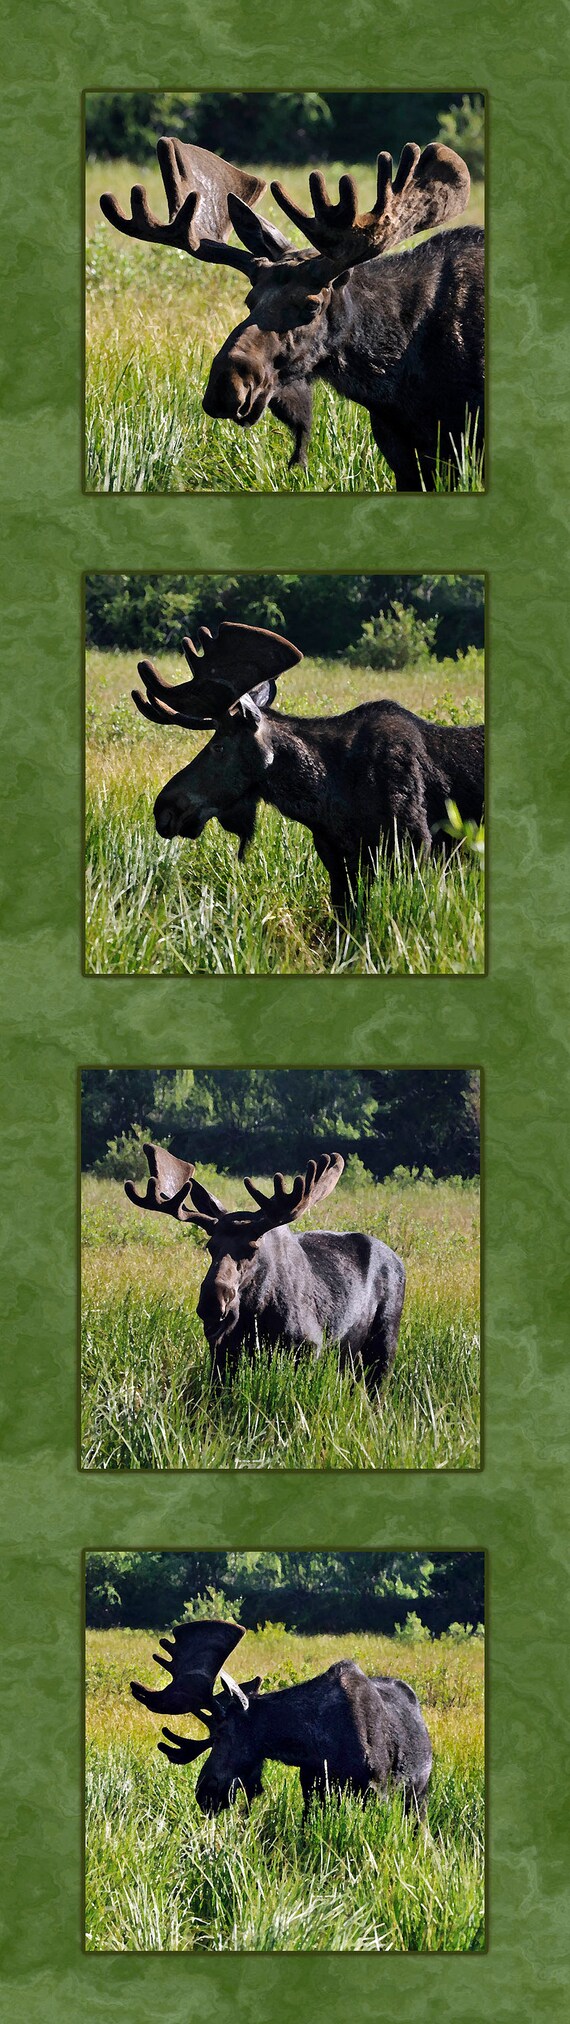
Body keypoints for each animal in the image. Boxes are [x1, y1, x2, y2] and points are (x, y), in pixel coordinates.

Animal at [124, 1141, 406, 1388]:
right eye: (210, 1246)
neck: (255, 1314)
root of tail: (398, 1260)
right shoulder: (222, 1353)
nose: (212, 1303)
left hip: (384, 1344)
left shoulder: (307, 1349)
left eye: (252, 1249)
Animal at [131, 1617, 433, 1818]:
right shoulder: (312, 1788)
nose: (204, 1793)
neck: (310, 1745)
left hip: (418, 1795)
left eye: (221, 1733)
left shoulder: (376, 1790)